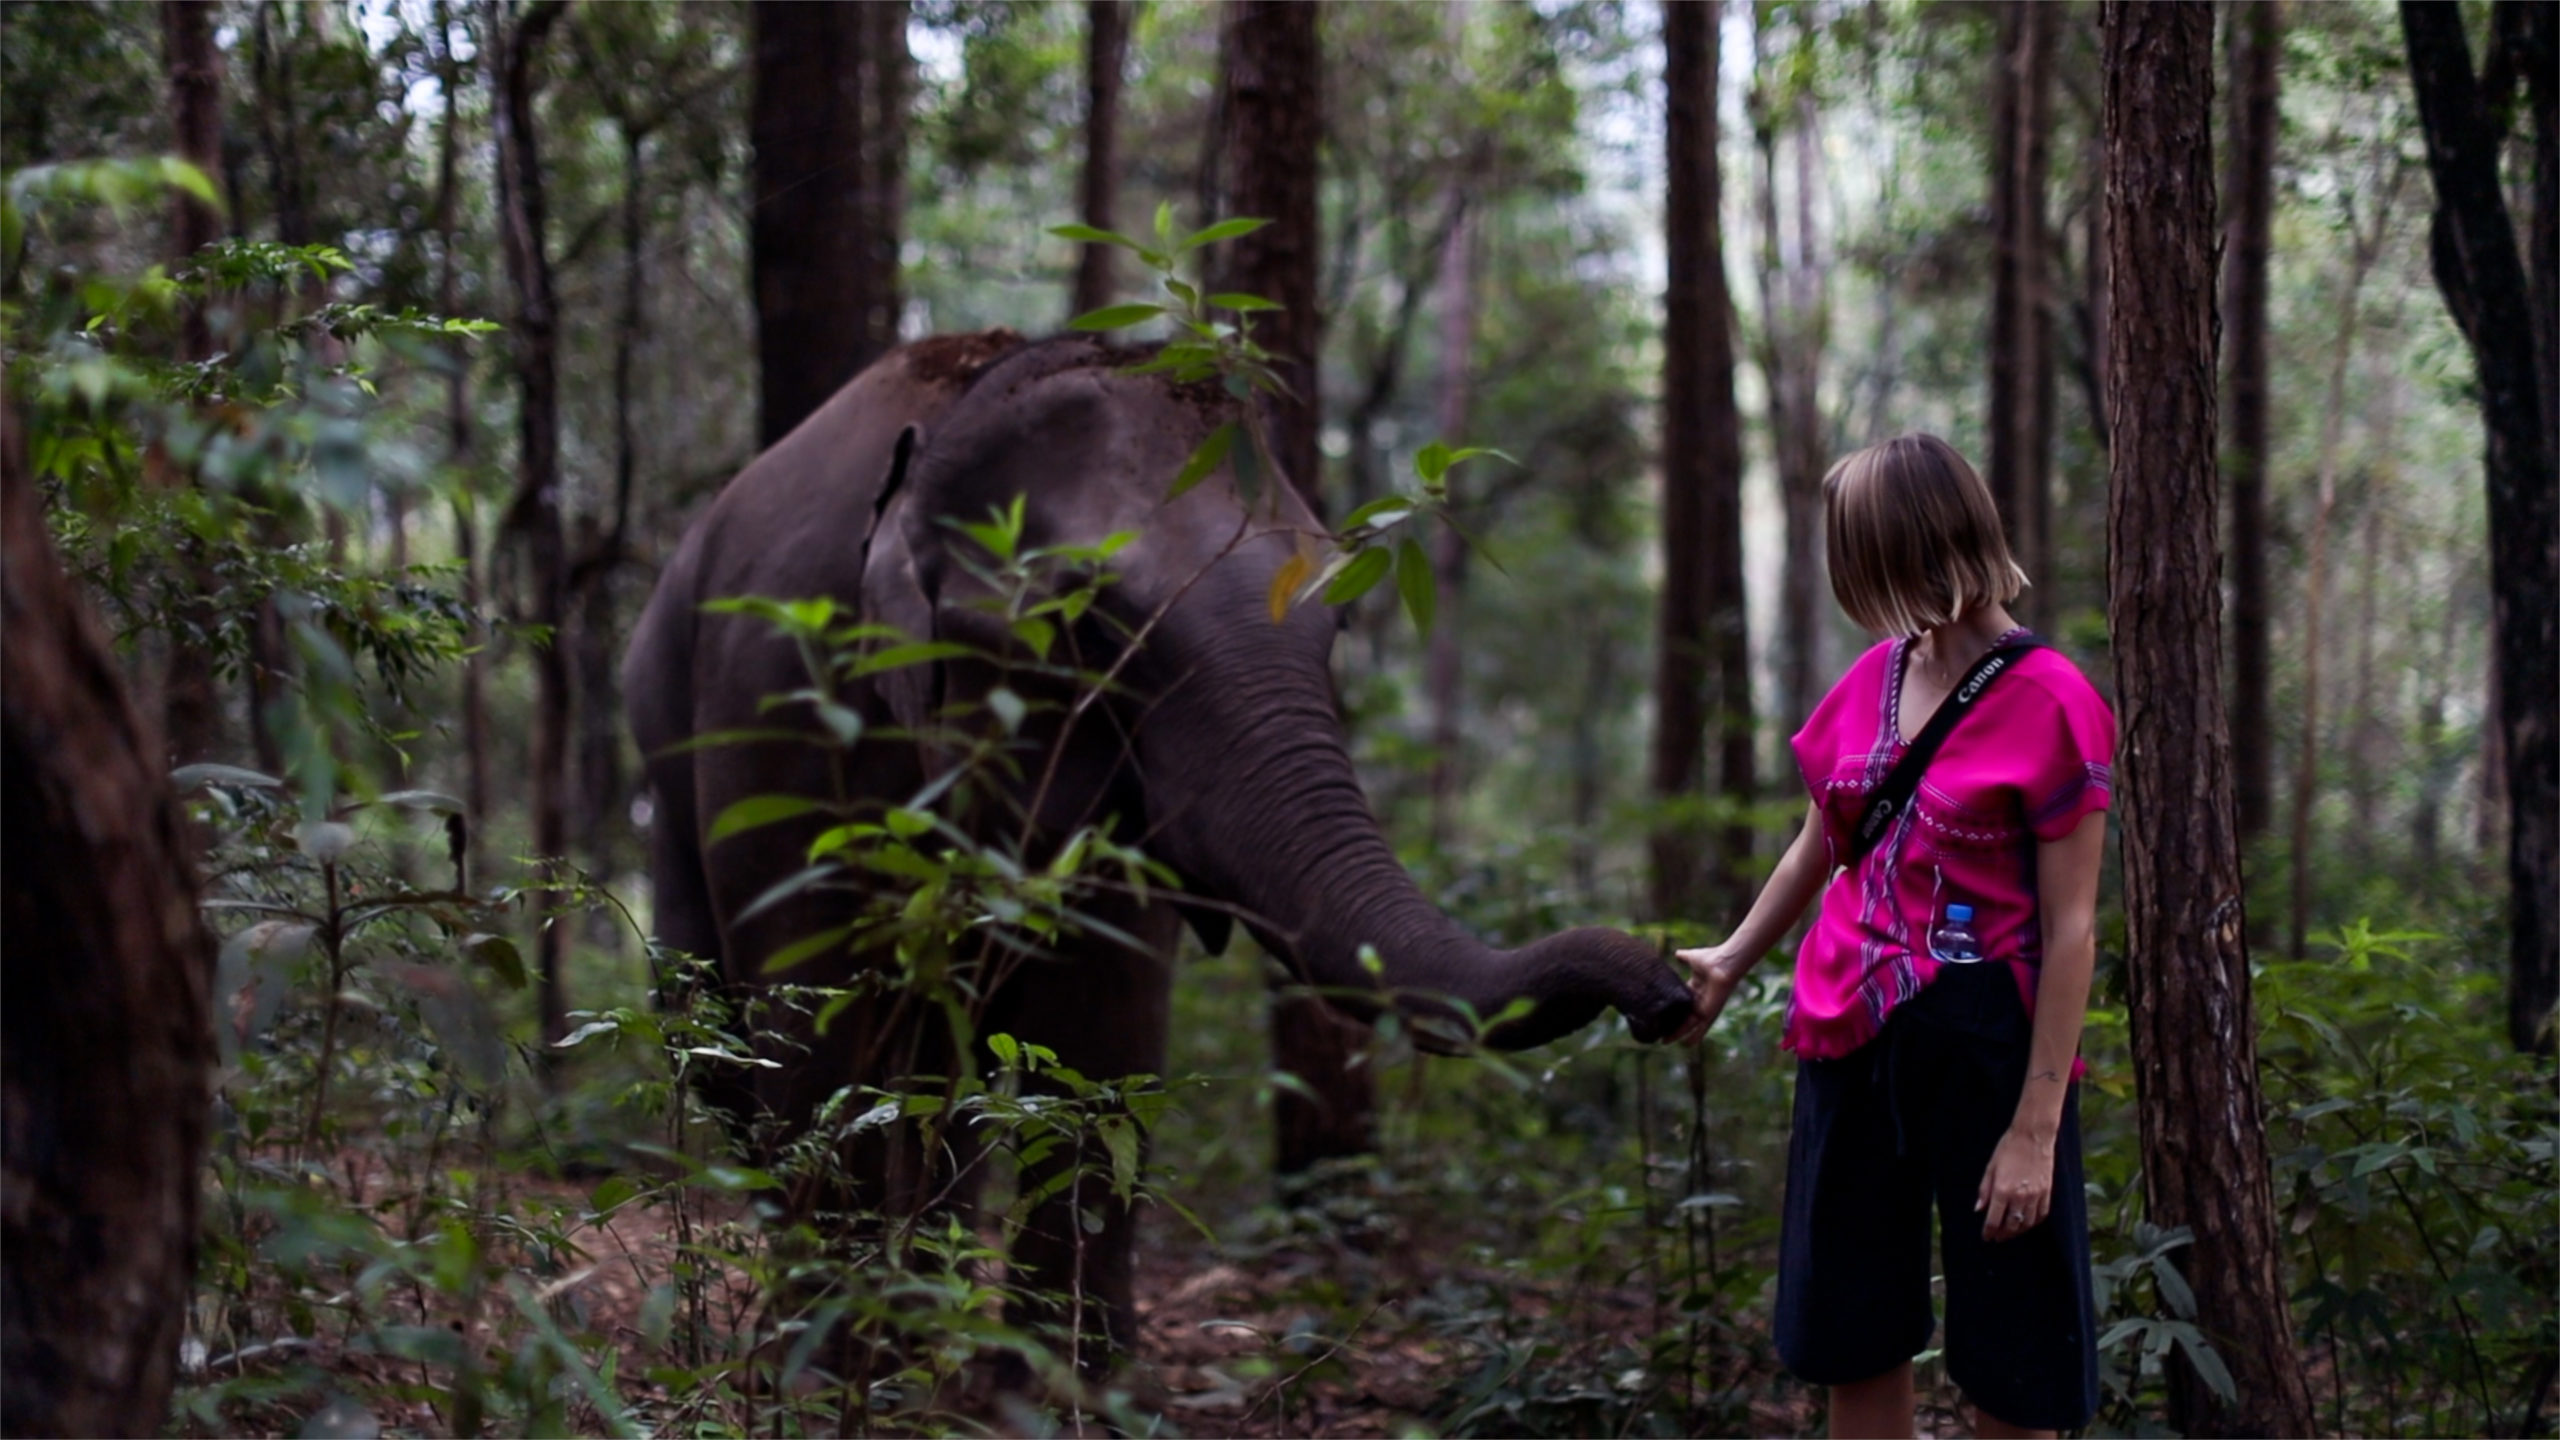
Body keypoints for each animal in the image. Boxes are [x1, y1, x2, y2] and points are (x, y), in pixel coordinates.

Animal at [622, 328, 1695, 1372]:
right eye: (1094, 624)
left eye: (1341, 617)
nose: (1671, 995)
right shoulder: (780, 699)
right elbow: (813, 1010)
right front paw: (833, 1378)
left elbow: (1101, 1025)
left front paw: (1060, 1391)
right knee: (720, 1048)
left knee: (938, 1075)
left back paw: (933, 1331)